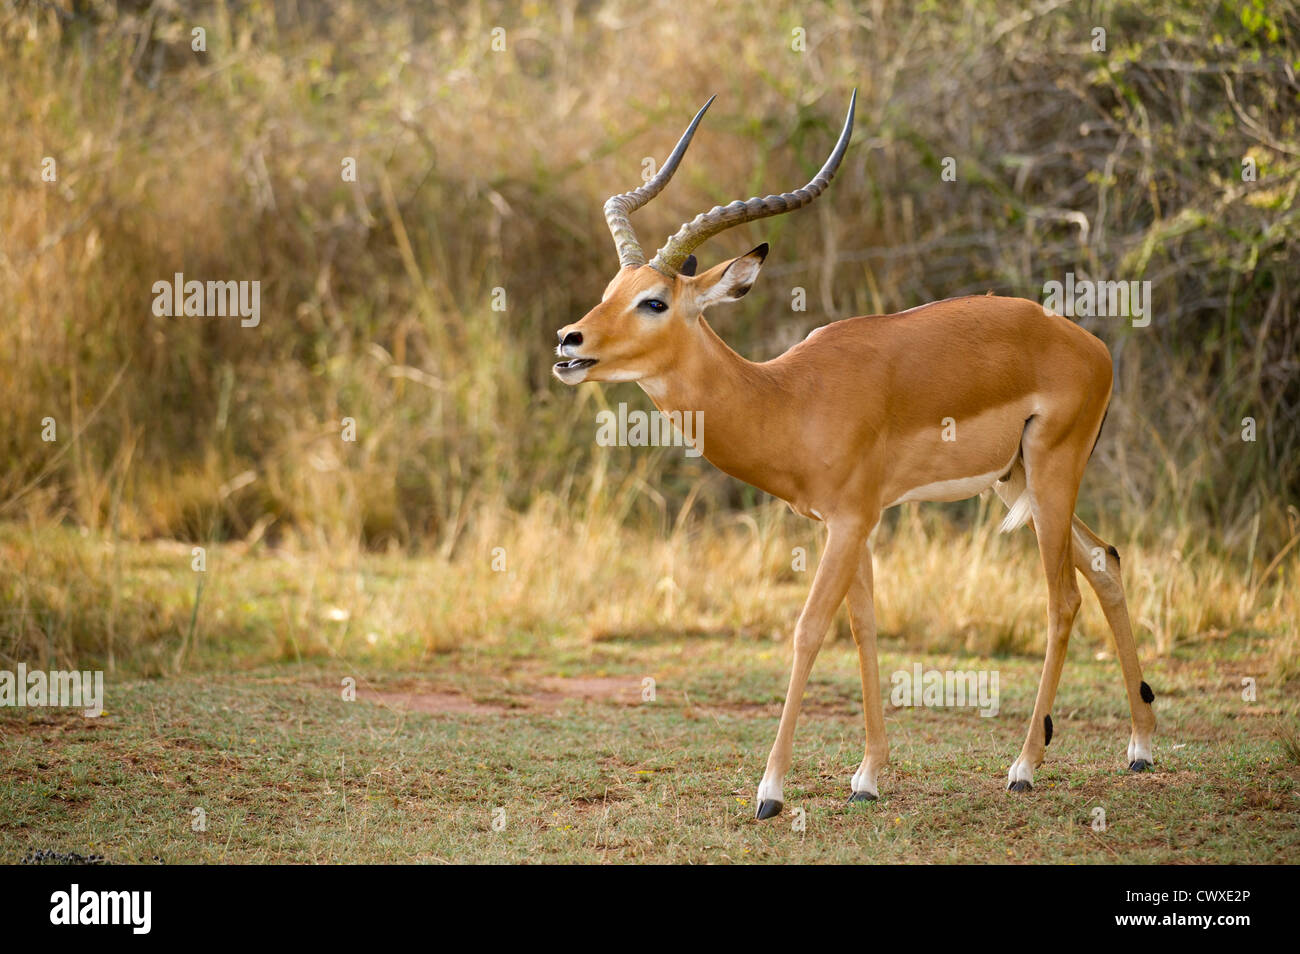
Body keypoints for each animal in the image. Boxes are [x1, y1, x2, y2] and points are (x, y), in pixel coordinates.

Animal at [553, 93, 1157, 819]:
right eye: (611, 290)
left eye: (654, 301)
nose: (568, 341)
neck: (787, 397)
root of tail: (1091, 346)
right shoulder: (857, 522)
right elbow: (865, 625)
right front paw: (867, 776)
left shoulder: (846, 523)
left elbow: (810, 627)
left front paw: (770, 792)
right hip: (1017, 482)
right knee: (1105, 561)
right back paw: (1140, 749)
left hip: (1049, 475)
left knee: (1061, 597)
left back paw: (1024, 767)